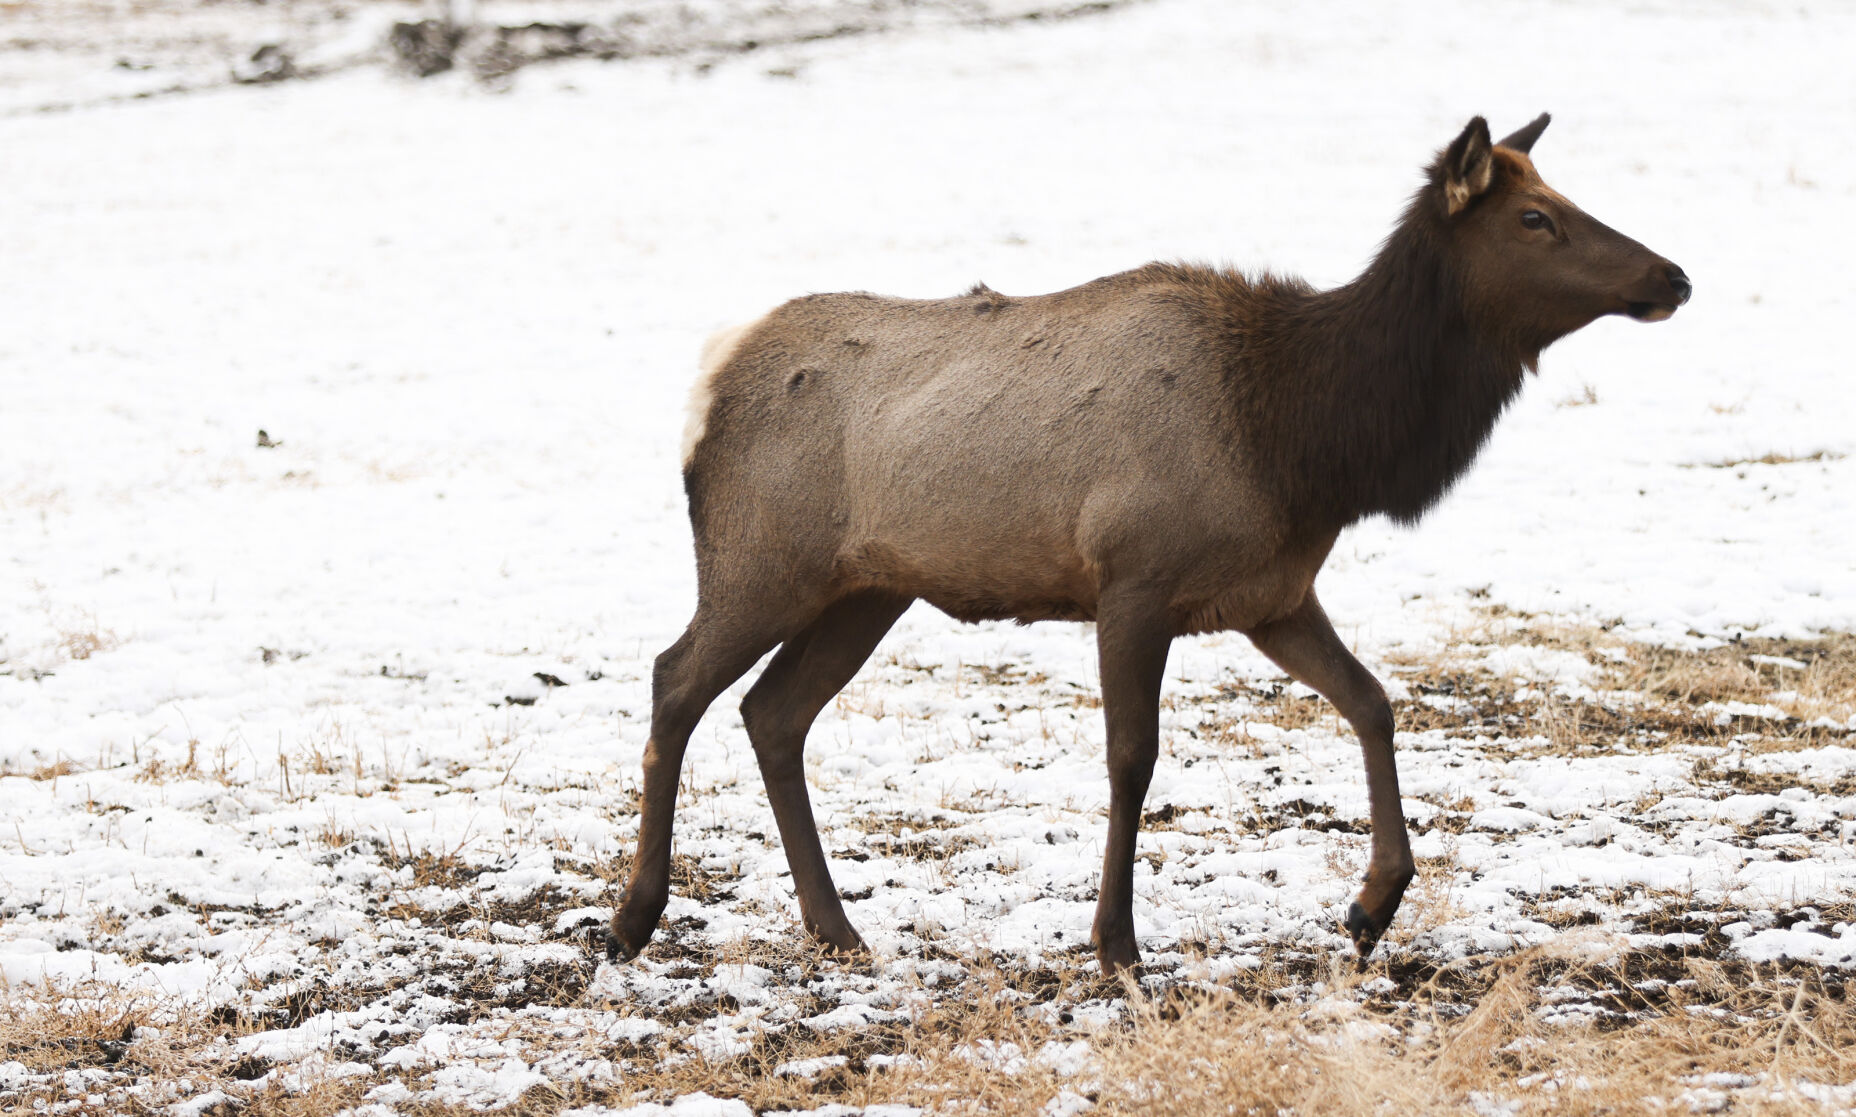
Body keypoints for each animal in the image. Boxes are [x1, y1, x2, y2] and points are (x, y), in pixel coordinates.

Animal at [609, 114, 1689, 974]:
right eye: (1534, 218)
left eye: (1559, 196)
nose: (1672, 273)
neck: (1305, 440)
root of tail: (709, 383)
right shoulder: (1133, 576)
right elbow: (1132, 755)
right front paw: (1117, 944)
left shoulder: (1270, 593)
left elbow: (1373, 701)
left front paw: (1372, 904)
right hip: (761, 558)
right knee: (675, 677)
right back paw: (633, 918)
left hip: (867, 586)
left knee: (773, 711)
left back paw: (833, 926)